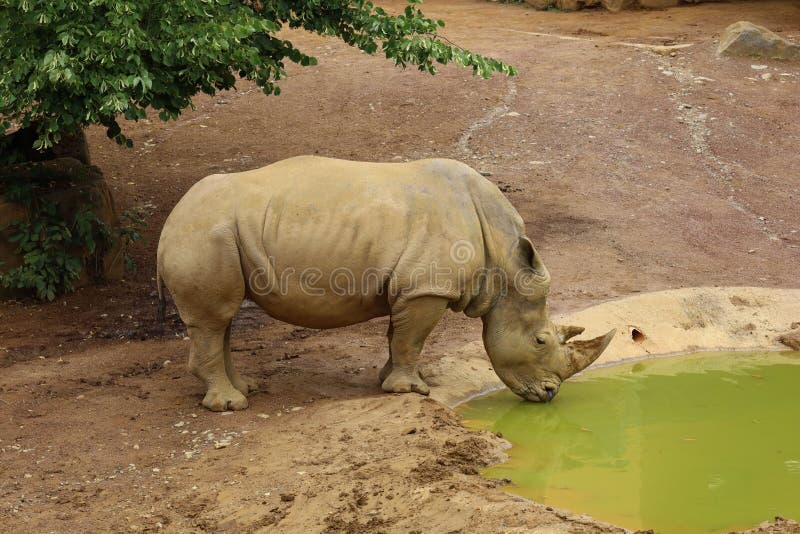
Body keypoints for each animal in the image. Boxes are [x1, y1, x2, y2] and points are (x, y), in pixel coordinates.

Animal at [157, 156, 615, 411]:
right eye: (540, 341)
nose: (550, 395)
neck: (504, 263)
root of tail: (170, 220)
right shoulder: (428, 288)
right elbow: (413, 338)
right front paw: (411, 391)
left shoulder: (411, 287)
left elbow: (399, 336)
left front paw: (390, 381)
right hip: (205, 232)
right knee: (215, 318)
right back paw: (231, 405)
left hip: (217, 231)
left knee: (222, 319)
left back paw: (244, 388)